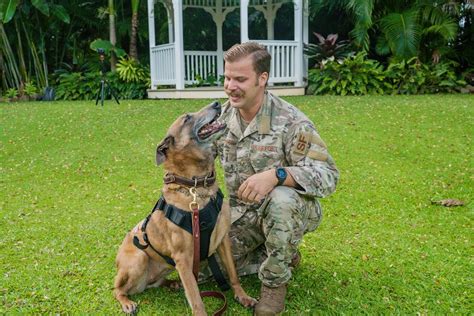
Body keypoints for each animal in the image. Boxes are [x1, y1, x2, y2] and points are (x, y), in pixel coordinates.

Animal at [113, 102, 258, 314]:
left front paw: (242, 296)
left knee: (155, 283)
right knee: (117, 289)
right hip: (139, 260)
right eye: (187, 118)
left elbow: (232, 274)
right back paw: (127, 302)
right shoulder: (183, 259)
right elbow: (196, 298)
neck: (196, 186)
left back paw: (172, 284)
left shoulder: (222, 240)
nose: (216, 103)